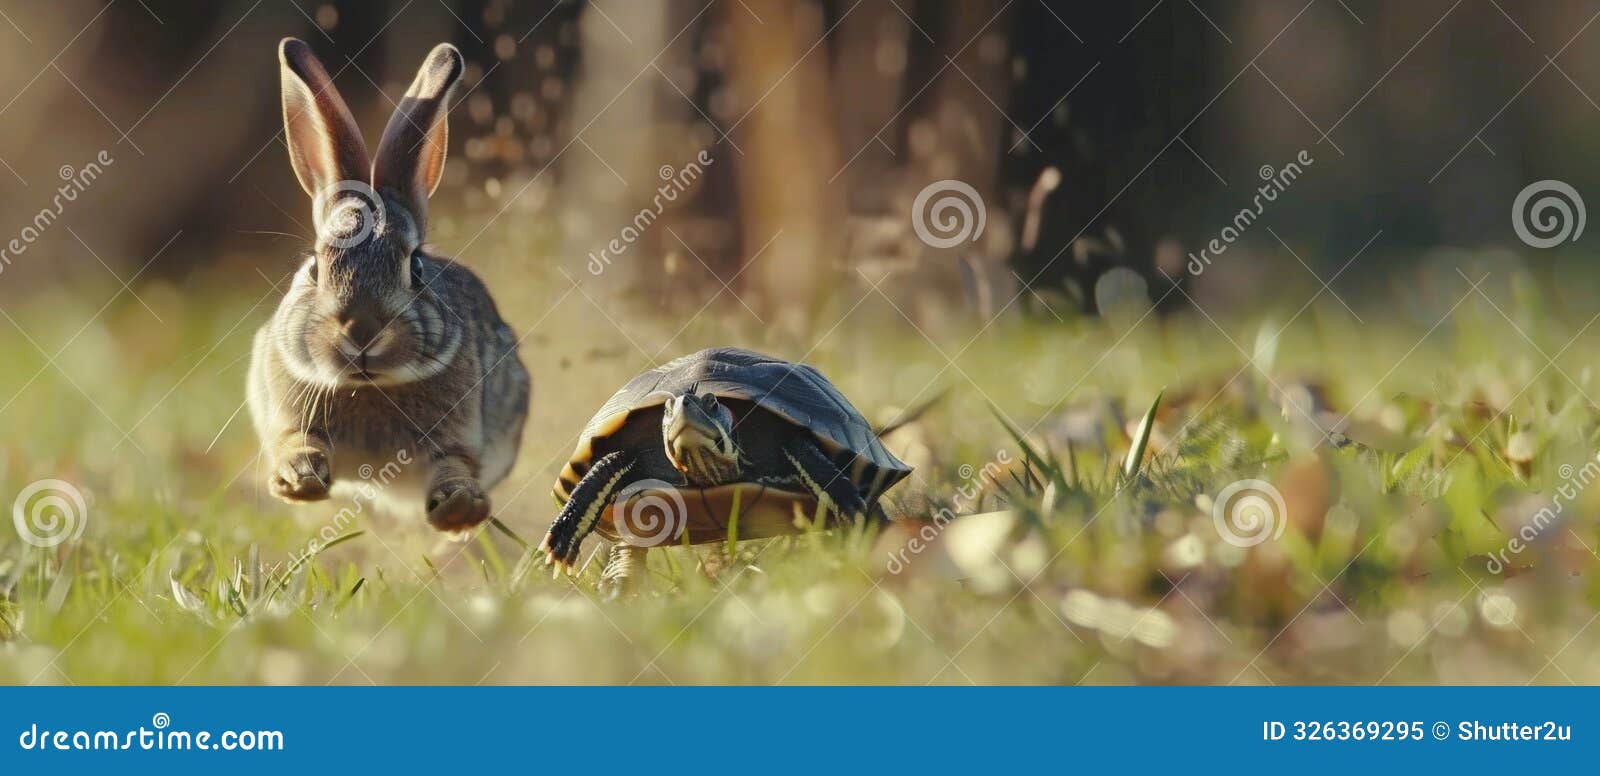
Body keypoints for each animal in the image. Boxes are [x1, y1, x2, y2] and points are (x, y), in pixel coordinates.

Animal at [247, 38, 530, 534]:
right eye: (315, 268)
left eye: (414, 266)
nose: (361, 331)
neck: (370, 386)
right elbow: (296, 440)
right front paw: (298, 478)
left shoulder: (459, 440)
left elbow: (455, 465)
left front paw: (459, 509)